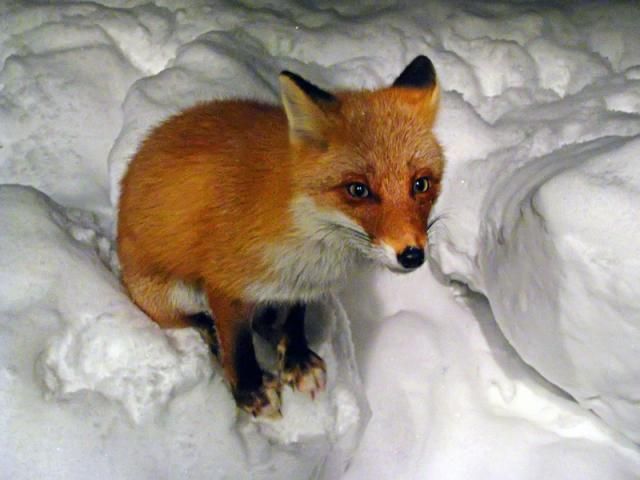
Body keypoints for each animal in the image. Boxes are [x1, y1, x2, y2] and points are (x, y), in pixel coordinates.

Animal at [117, 55, 444, 418]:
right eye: (358, 190)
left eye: (421, 184)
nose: (412, 255)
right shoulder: (225, 285)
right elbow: (238, 345)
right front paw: (251, 391)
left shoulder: (302, 284)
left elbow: (294, 319)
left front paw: (297, 360)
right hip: (168, 293)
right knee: (196, 322)